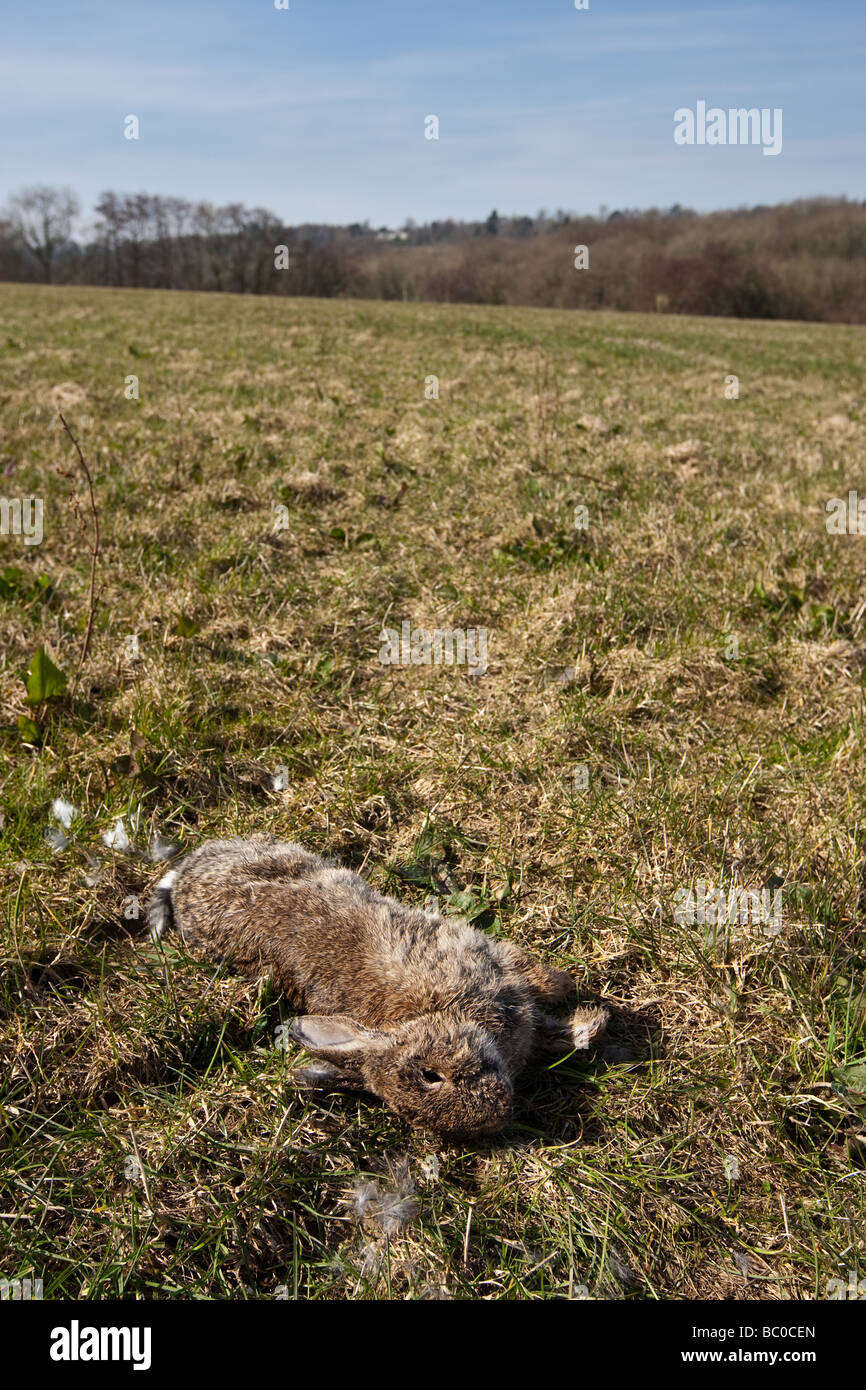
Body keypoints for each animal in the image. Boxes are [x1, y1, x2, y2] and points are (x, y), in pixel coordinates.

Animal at [146, 835, 607, 1139]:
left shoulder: (486, 960)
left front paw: (582, 998)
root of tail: (183, 879)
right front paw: (589, 1022)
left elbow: (541, 982)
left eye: (430, 1075)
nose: (498, 1113)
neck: (434, 1013)